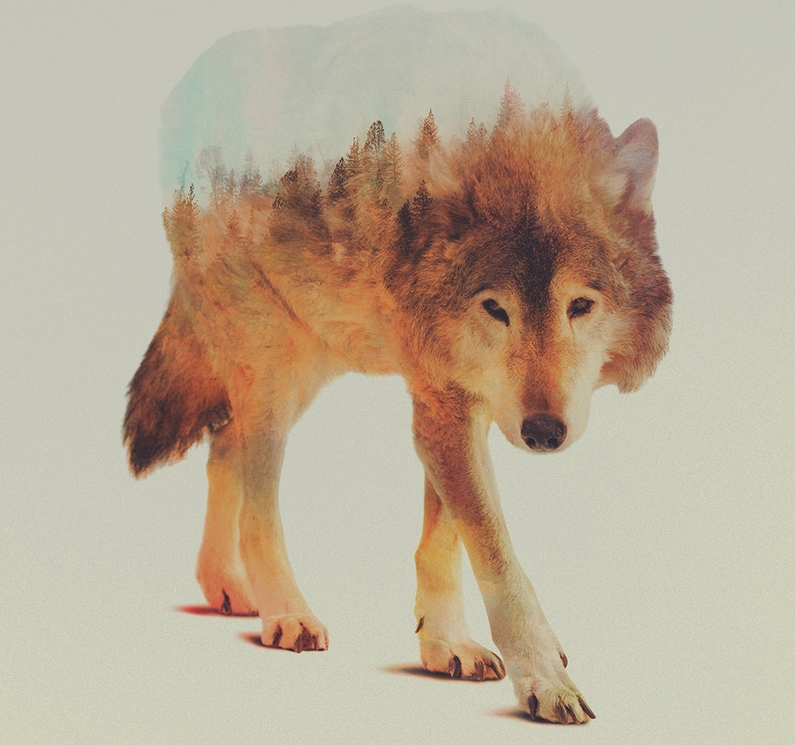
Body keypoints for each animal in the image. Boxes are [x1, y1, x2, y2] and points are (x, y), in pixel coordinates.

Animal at [124, 10, 671, 725]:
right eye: (495, 309)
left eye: (580, 305)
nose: (543, 433)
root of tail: (179, 91)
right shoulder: (445, 403)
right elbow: (496, 554)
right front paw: (545, 678)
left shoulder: (457, 398)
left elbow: (443, 539)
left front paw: (444, 644)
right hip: (269, 368)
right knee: (257, 496)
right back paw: (285, 613)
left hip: (303, 365)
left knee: (223, 450)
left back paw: (228, 587)